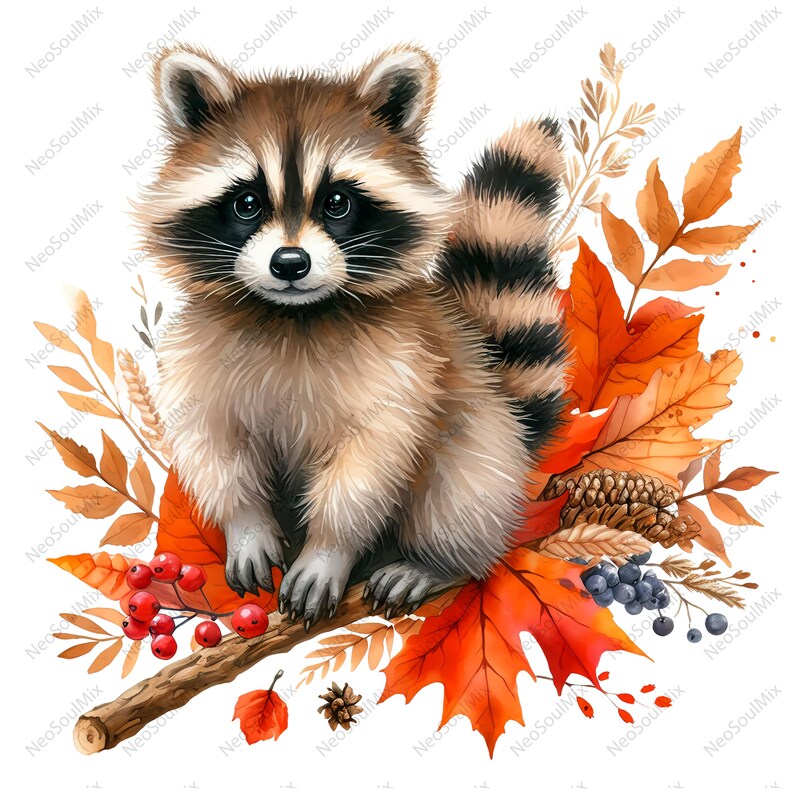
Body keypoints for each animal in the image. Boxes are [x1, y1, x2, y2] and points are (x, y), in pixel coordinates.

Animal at [136, 44, 567, 627]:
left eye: (337, 202)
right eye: (247, 203)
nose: (289, 263)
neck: (292, 315)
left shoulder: (403, 367)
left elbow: (369, 464)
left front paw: (328, 550)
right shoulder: (199, 359)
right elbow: (215, 446)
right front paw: (245, 525)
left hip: (485, 447)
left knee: (460, 490)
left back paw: (437, 562)